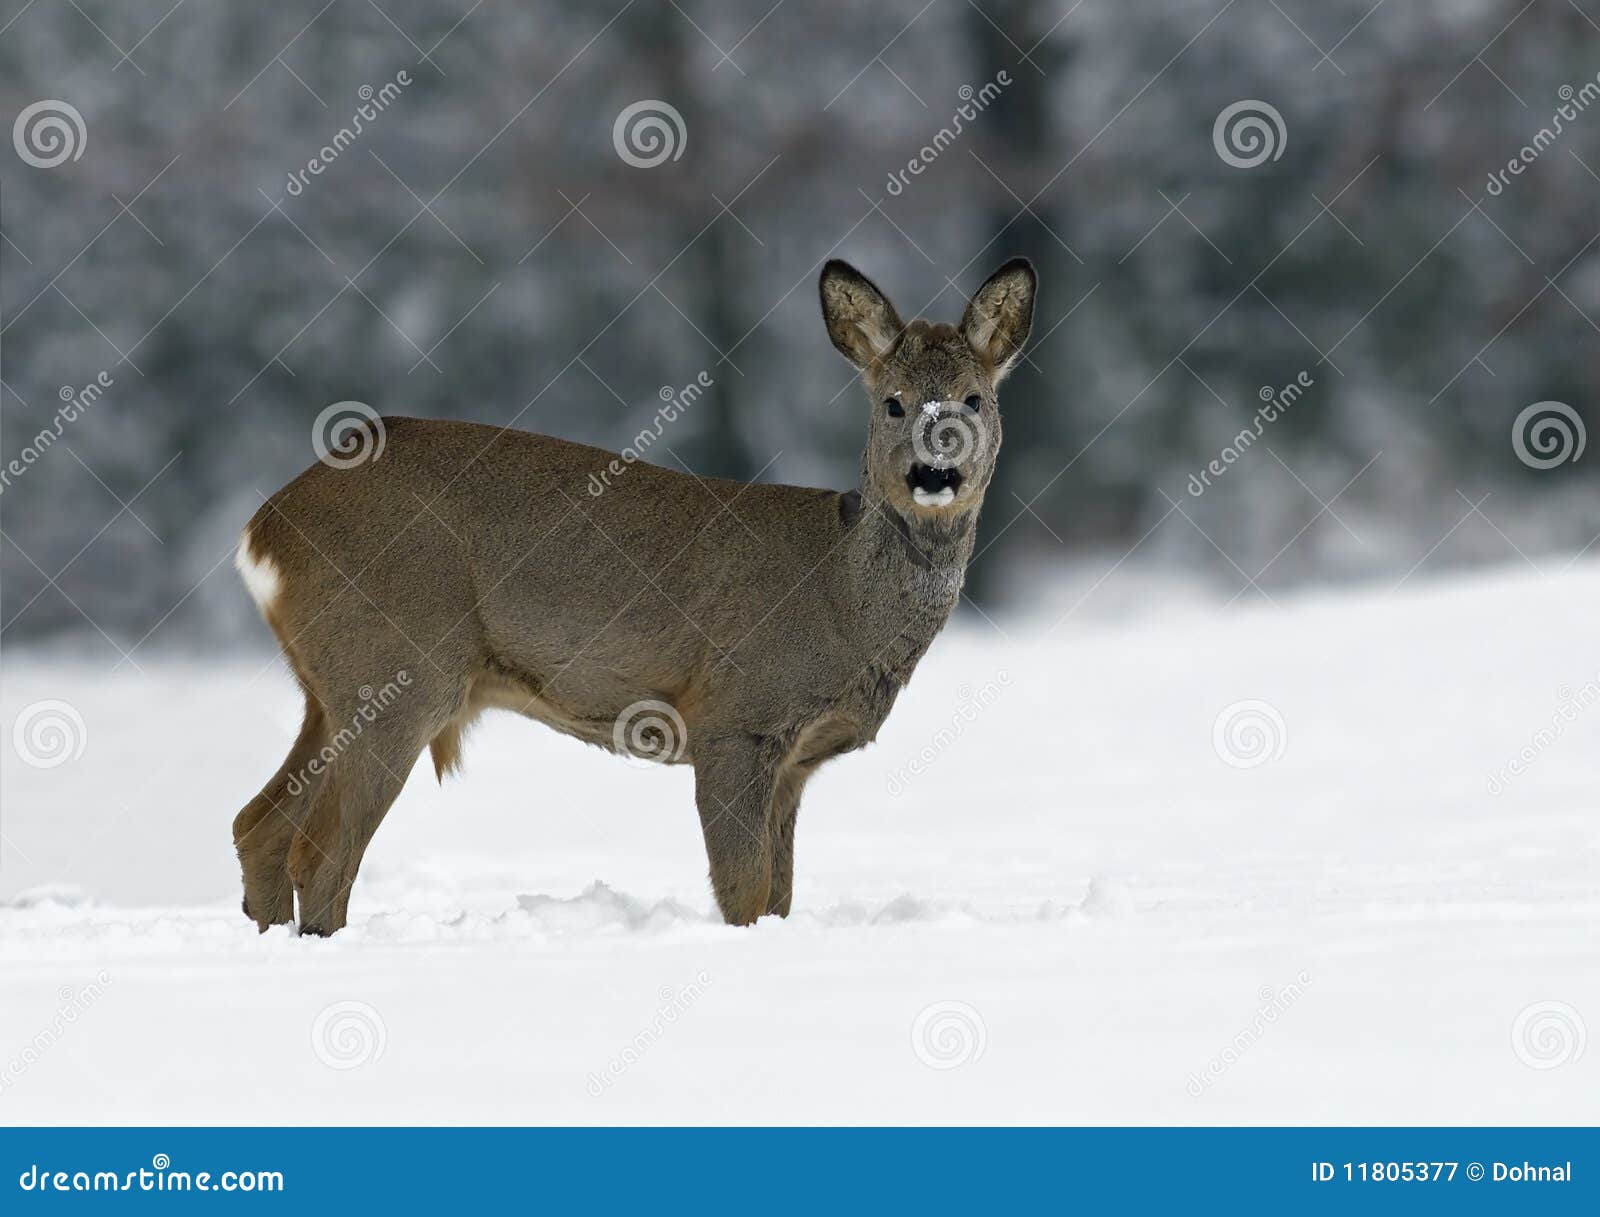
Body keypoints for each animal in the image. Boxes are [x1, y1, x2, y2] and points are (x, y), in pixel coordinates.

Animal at [231, 257, 1036, 935]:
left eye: (973, 399)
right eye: (894, 404)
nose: (935, 473)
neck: (841, 595)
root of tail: (264, 526)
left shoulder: (795, 763)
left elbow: (780, 897)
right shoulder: (735, 718)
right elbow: (743, 894)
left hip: (332, 686)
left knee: (257, 827)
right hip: (399, 668)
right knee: (317, 855)